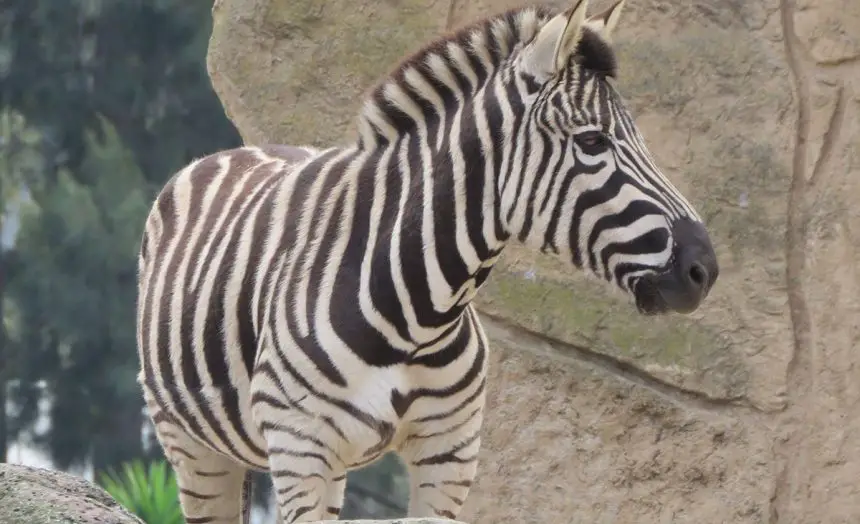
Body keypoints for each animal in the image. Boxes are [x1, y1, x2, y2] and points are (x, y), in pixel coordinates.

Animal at [135, 0, 719, 522]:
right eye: (593, 142)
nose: (704, 270)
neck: (417, 315)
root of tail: (230, 151)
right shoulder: (301, 446)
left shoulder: (450, 453)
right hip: (190, 444)